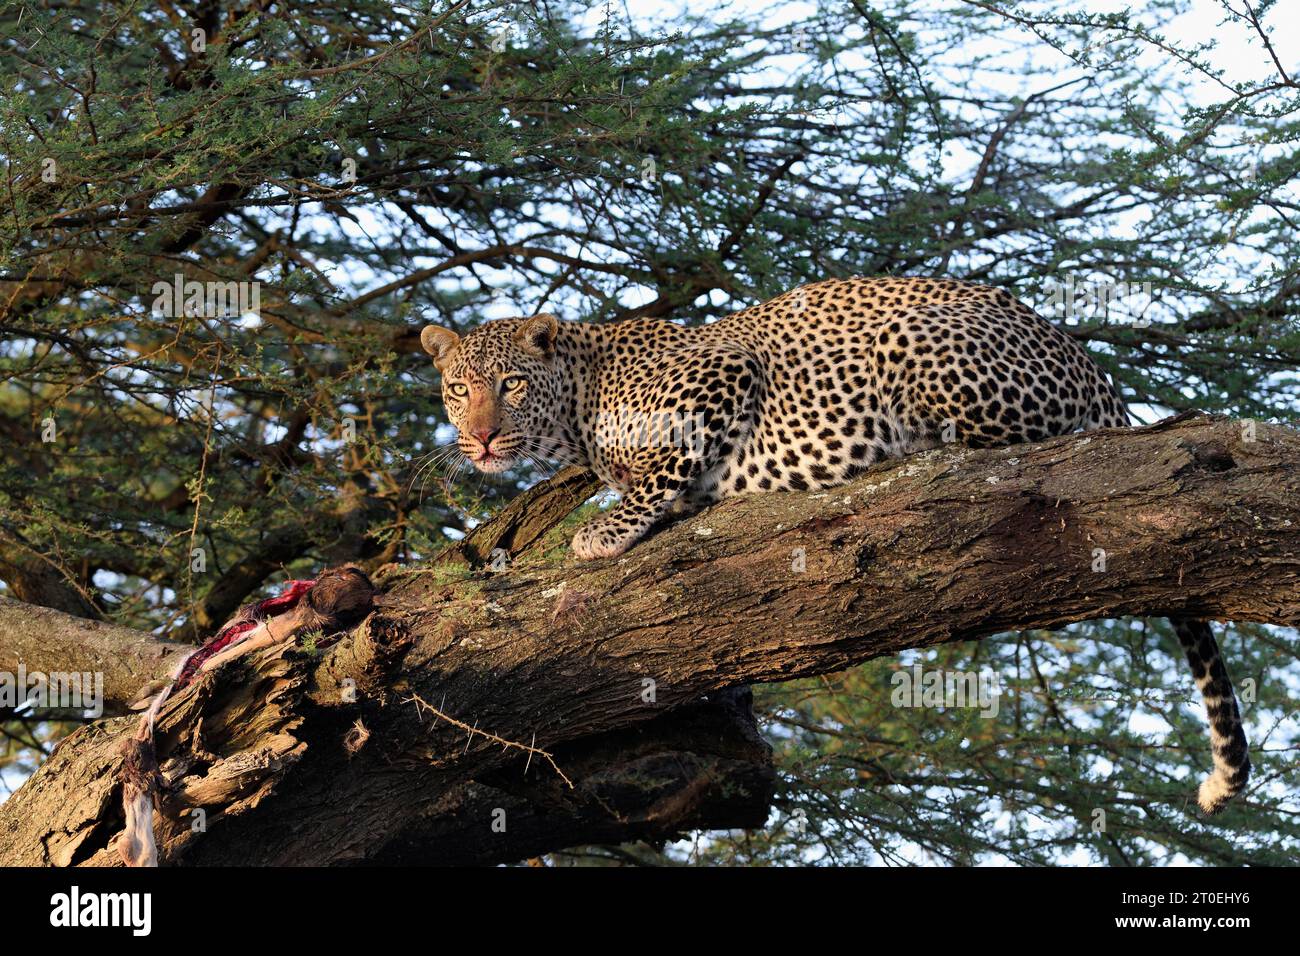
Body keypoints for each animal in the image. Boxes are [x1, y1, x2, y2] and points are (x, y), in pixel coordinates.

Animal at [420, 275, 1250, 815]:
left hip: (924, 342)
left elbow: (665, 465)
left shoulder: (721, 370)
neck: (580, 406)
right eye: (458, 389)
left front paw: (607, 529)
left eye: (511, 385)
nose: (480, 439)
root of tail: (1095, 371)